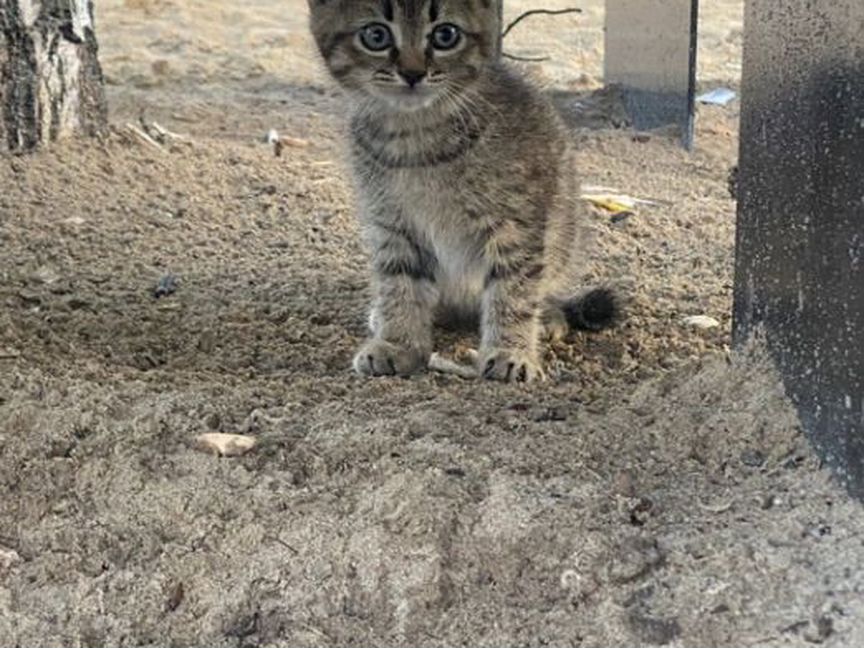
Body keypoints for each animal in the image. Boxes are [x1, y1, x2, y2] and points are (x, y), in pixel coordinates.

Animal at [308, 0, 616, 382]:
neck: (415, 137)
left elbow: (513, 290)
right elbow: (398, 283)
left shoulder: (517, 223)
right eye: (375, 36)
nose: (413, 72)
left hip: (564, 234)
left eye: (446, 35)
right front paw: (398, 342)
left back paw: (548, 318)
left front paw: (511, 351)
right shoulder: (391, 223)